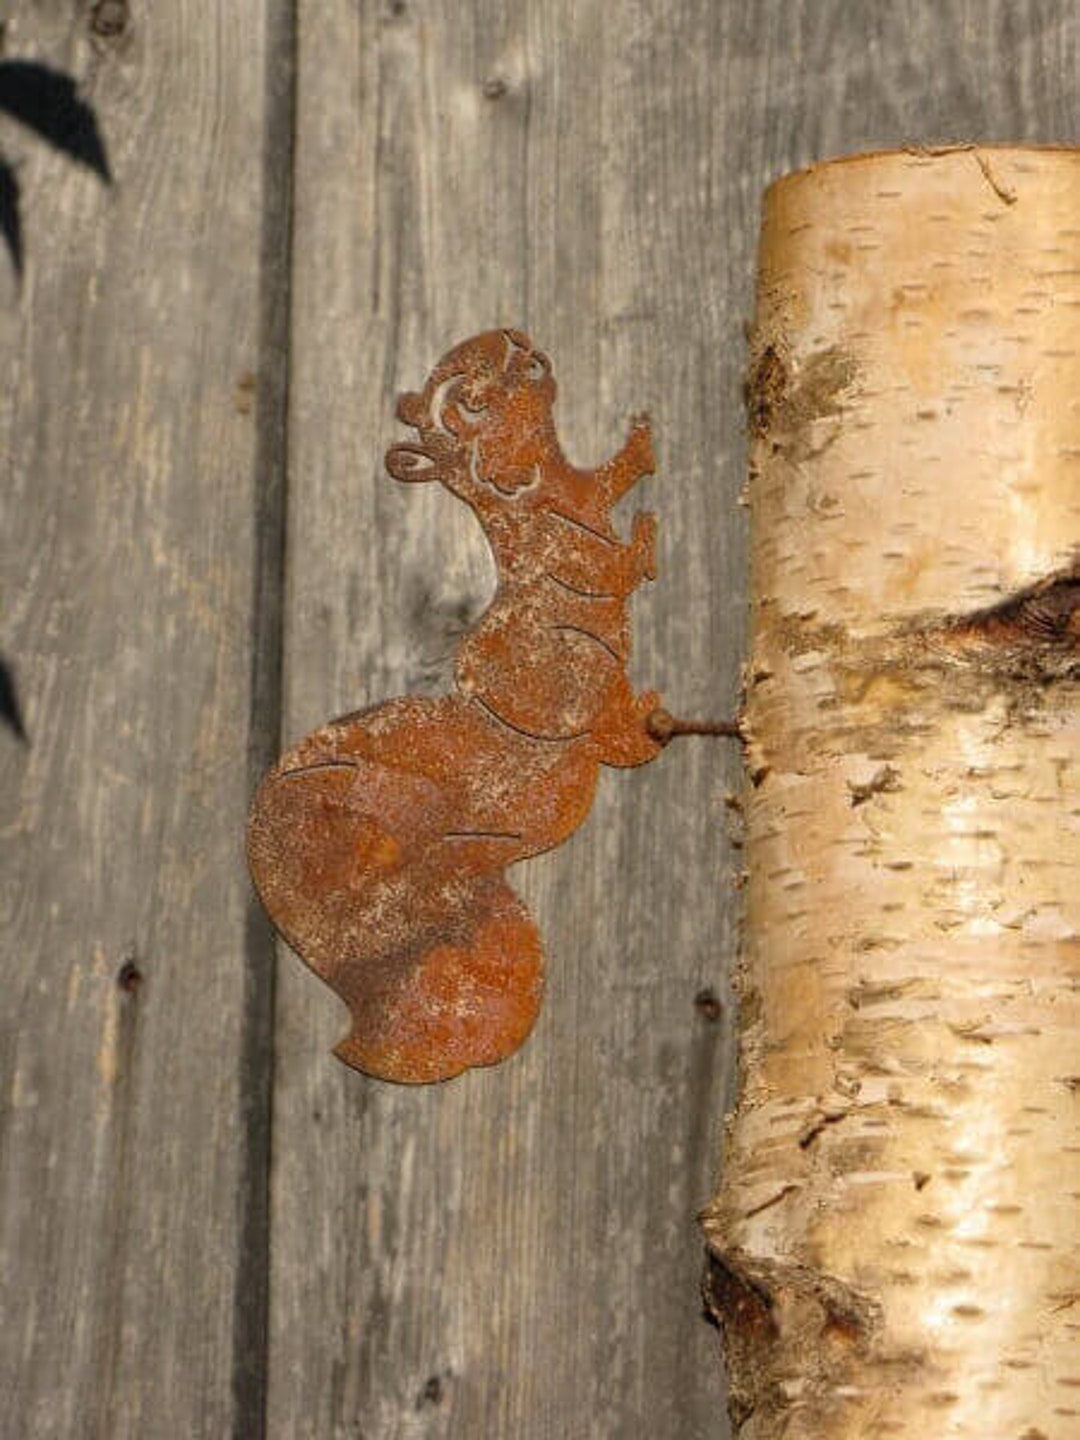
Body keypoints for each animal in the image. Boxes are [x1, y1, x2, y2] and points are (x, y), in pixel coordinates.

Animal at [247, 329, 730, 1083]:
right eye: (472, 402)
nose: (514, 339)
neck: (541, 485)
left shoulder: (582, 498)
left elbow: (611, 481)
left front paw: (640, 444)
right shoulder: (571, 563)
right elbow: (609, 564)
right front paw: (646, 535)